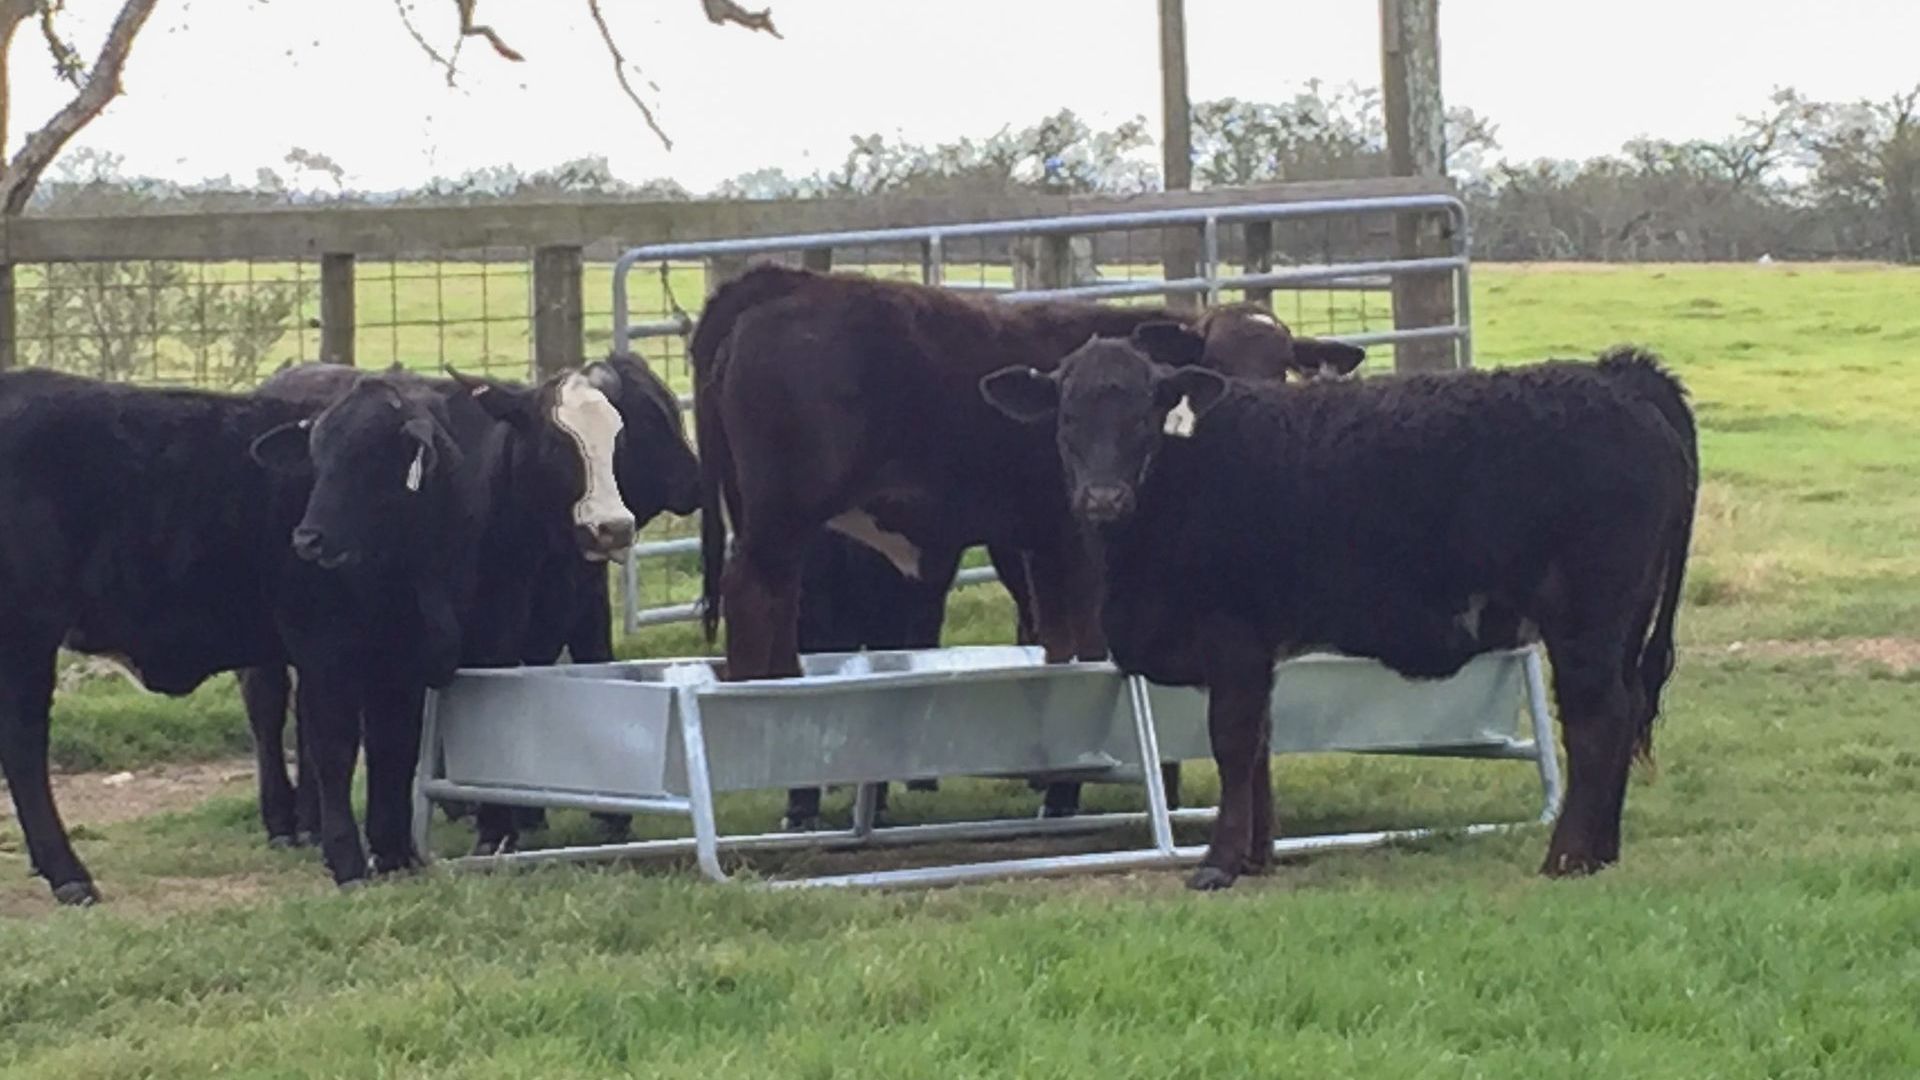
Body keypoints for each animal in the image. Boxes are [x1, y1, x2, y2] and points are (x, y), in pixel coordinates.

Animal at [981, 339, 1696, 890]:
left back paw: (1567, 856)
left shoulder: (1233, 636)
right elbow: (1260, 745)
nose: (1102, 497)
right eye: (1067, 417)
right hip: (1622, 621)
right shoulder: (1258, 650)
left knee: (1598, 721)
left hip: (1586, 620)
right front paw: (1258, 855)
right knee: (1626, 709)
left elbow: (1232, 744)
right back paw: (1603, 851)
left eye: (1143, 415)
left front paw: (1219, 862)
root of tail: (1619, 376)